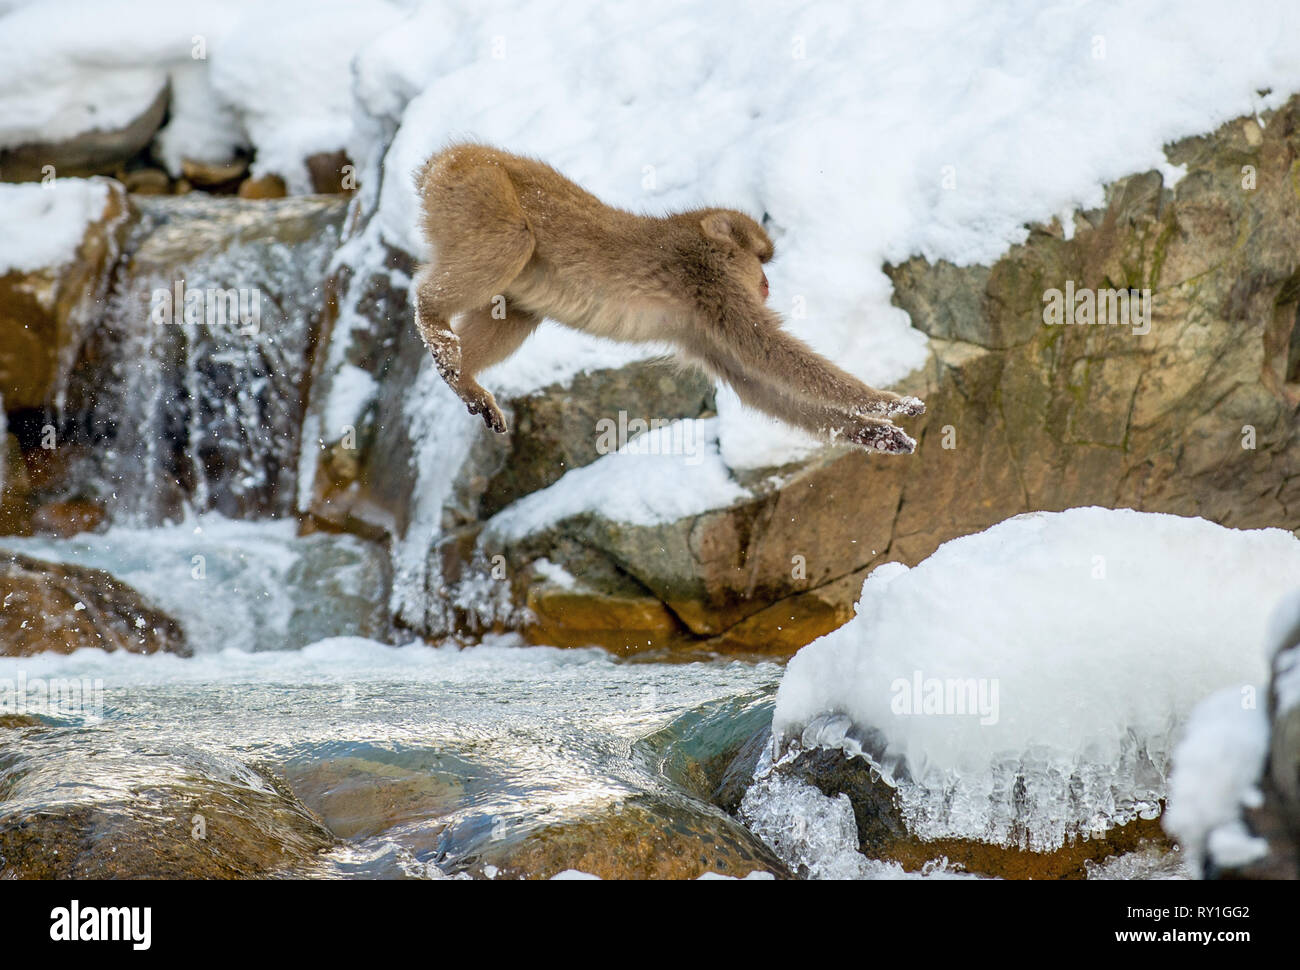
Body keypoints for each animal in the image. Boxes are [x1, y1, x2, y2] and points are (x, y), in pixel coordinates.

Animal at [411, 144, 925, 454]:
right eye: (760, 258)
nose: (766, 284)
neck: (702, 248)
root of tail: (447, 156)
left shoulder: (702, 329)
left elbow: (755, 384)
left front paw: (878, 433)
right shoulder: (715, 289)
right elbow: (768, 352)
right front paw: (887, 403)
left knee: (516, 309)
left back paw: (463, 378)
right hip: (478, 192)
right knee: (512, 241)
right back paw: (430, 316)